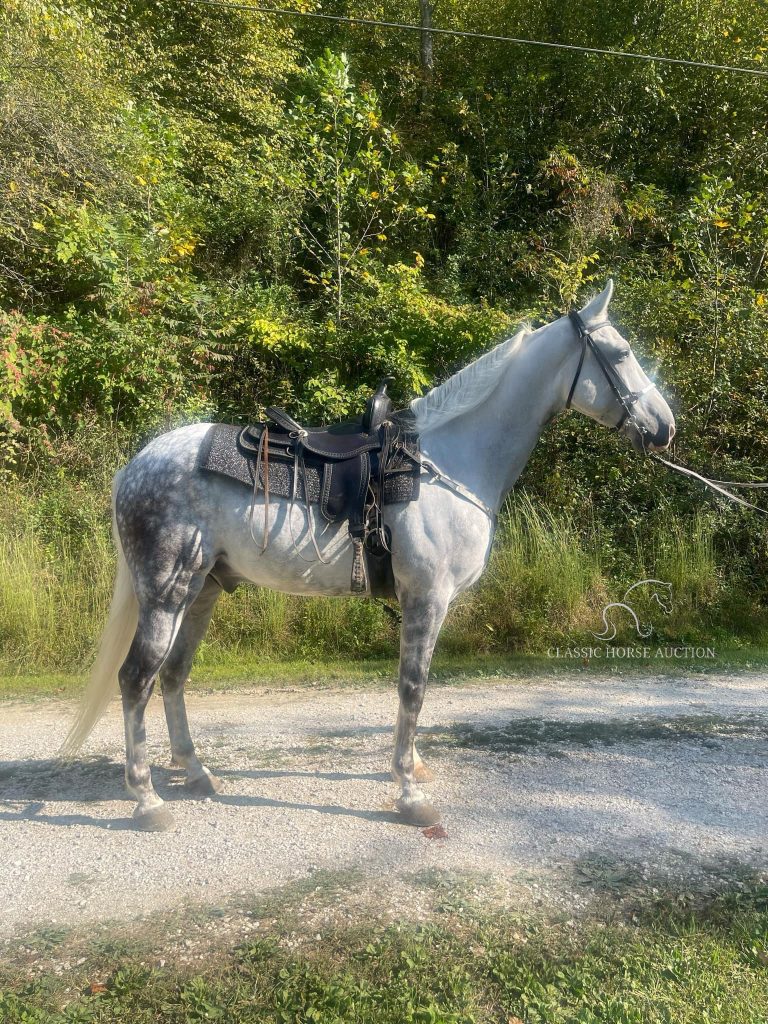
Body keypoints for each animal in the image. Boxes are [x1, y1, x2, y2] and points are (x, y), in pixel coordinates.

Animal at [61, 280, 675, 830]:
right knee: (136, 679)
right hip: (167, 593)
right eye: (620, 354)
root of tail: (136, 466)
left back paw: (196, 773)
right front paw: (408, 794)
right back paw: (147, 801)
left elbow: (414, 690)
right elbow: (413, 686)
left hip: (203, 591)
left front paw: (414, 769)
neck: (445, 465)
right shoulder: (426, 597)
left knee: (173, 676)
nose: (664, 427)